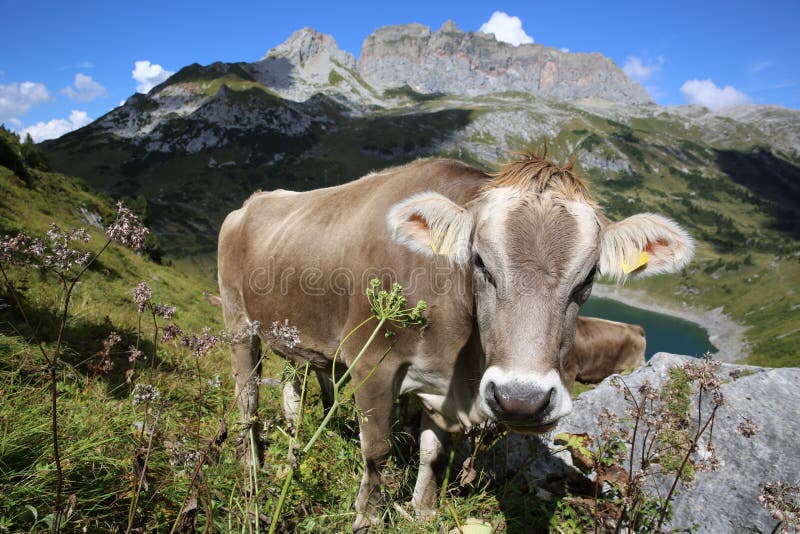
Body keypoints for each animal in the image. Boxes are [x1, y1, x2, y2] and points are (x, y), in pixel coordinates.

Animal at [217, 154, 693, 530]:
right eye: (480, 261)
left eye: (590, 274)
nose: (522, 400)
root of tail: (252, 201)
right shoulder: (373, 365)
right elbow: (377, 451)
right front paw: (367, 516)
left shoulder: (444, 387)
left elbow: (433, 454)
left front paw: (423, 510)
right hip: (239, 323)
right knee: (247, 395)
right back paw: (252, 465)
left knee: (303, 378)